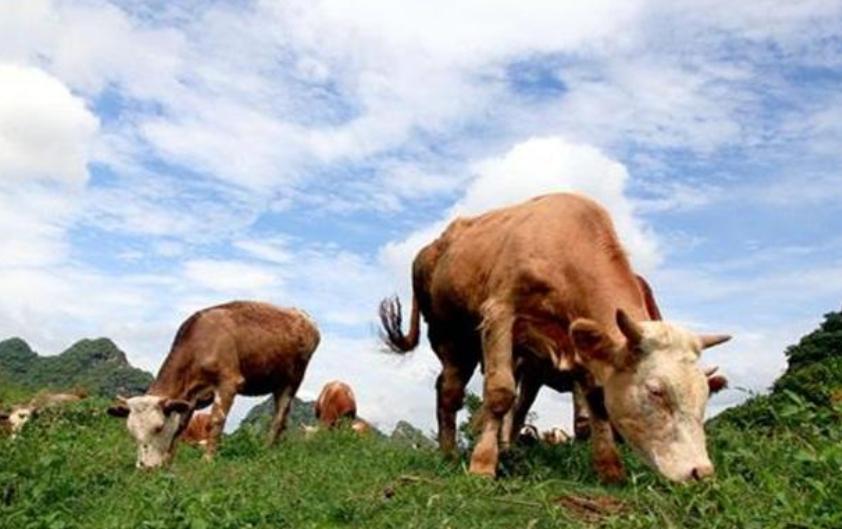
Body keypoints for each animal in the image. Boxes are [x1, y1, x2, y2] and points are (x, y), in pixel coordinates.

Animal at [107, 301, 320, 469]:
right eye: (131, 432)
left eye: (158, 427)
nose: (144, 467)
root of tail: (304, 316)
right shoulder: (189, 397)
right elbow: (180, 426)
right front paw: (169, 461)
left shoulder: (228, 383)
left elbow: (215, 421)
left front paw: (208, 459)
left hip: (292, 381)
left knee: (278, 418)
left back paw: (266, 452)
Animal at [379, 193, 730, 482]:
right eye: (655, 391)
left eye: (705, 395)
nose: (701, 471)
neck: (565, 246)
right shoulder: (501, 313)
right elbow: (500, 393)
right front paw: (482, 464)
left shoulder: (581, 343)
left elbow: (596, 403)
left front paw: (610, 469)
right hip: (451, 336)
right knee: (450, 391)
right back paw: (450, 453)